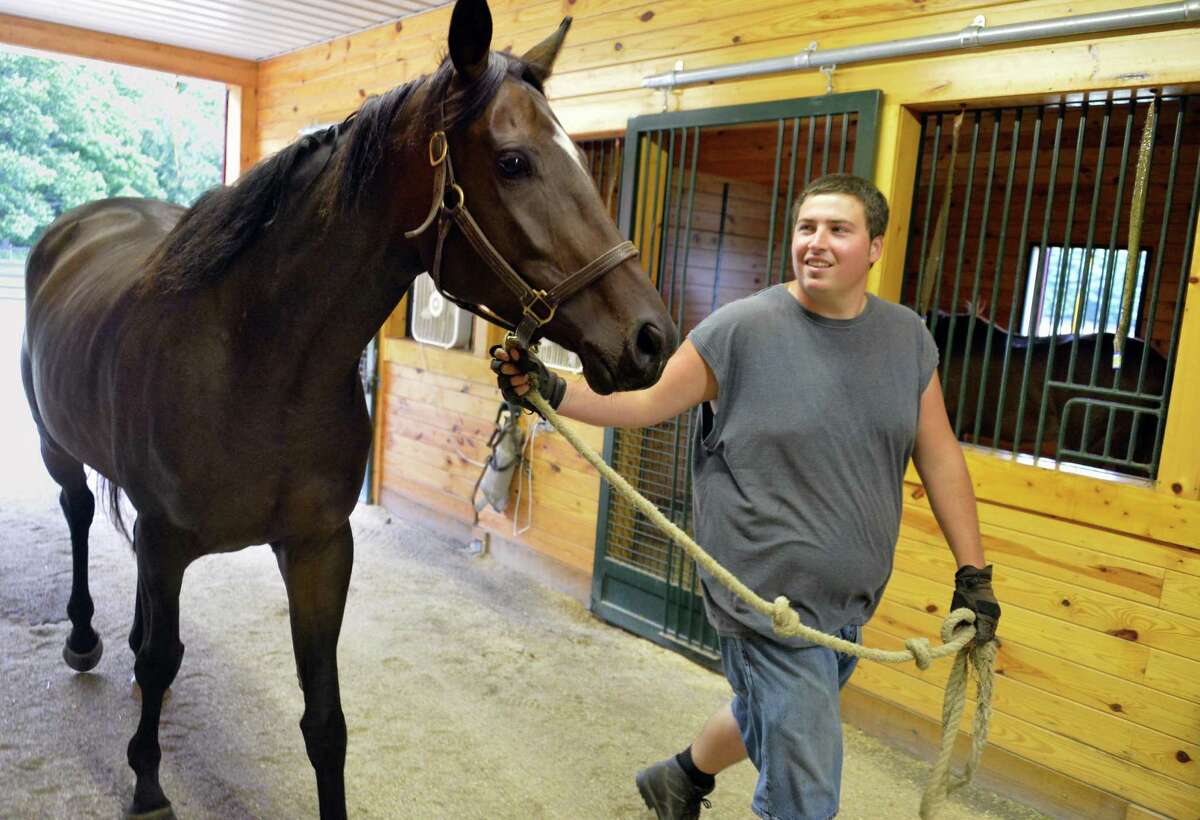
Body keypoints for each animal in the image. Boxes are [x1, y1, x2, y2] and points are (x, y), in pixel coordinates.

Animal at [18, 1, 676, 816]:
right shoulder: (169, 541)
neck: (259, 364)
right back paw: (83, 638)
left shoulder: (319, 549)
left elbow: (324, 721)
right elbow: (165, 658)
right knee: (79, 516)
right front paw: (145, 781)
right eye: (513, 162)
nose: (653, 338)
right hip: (57, 448)